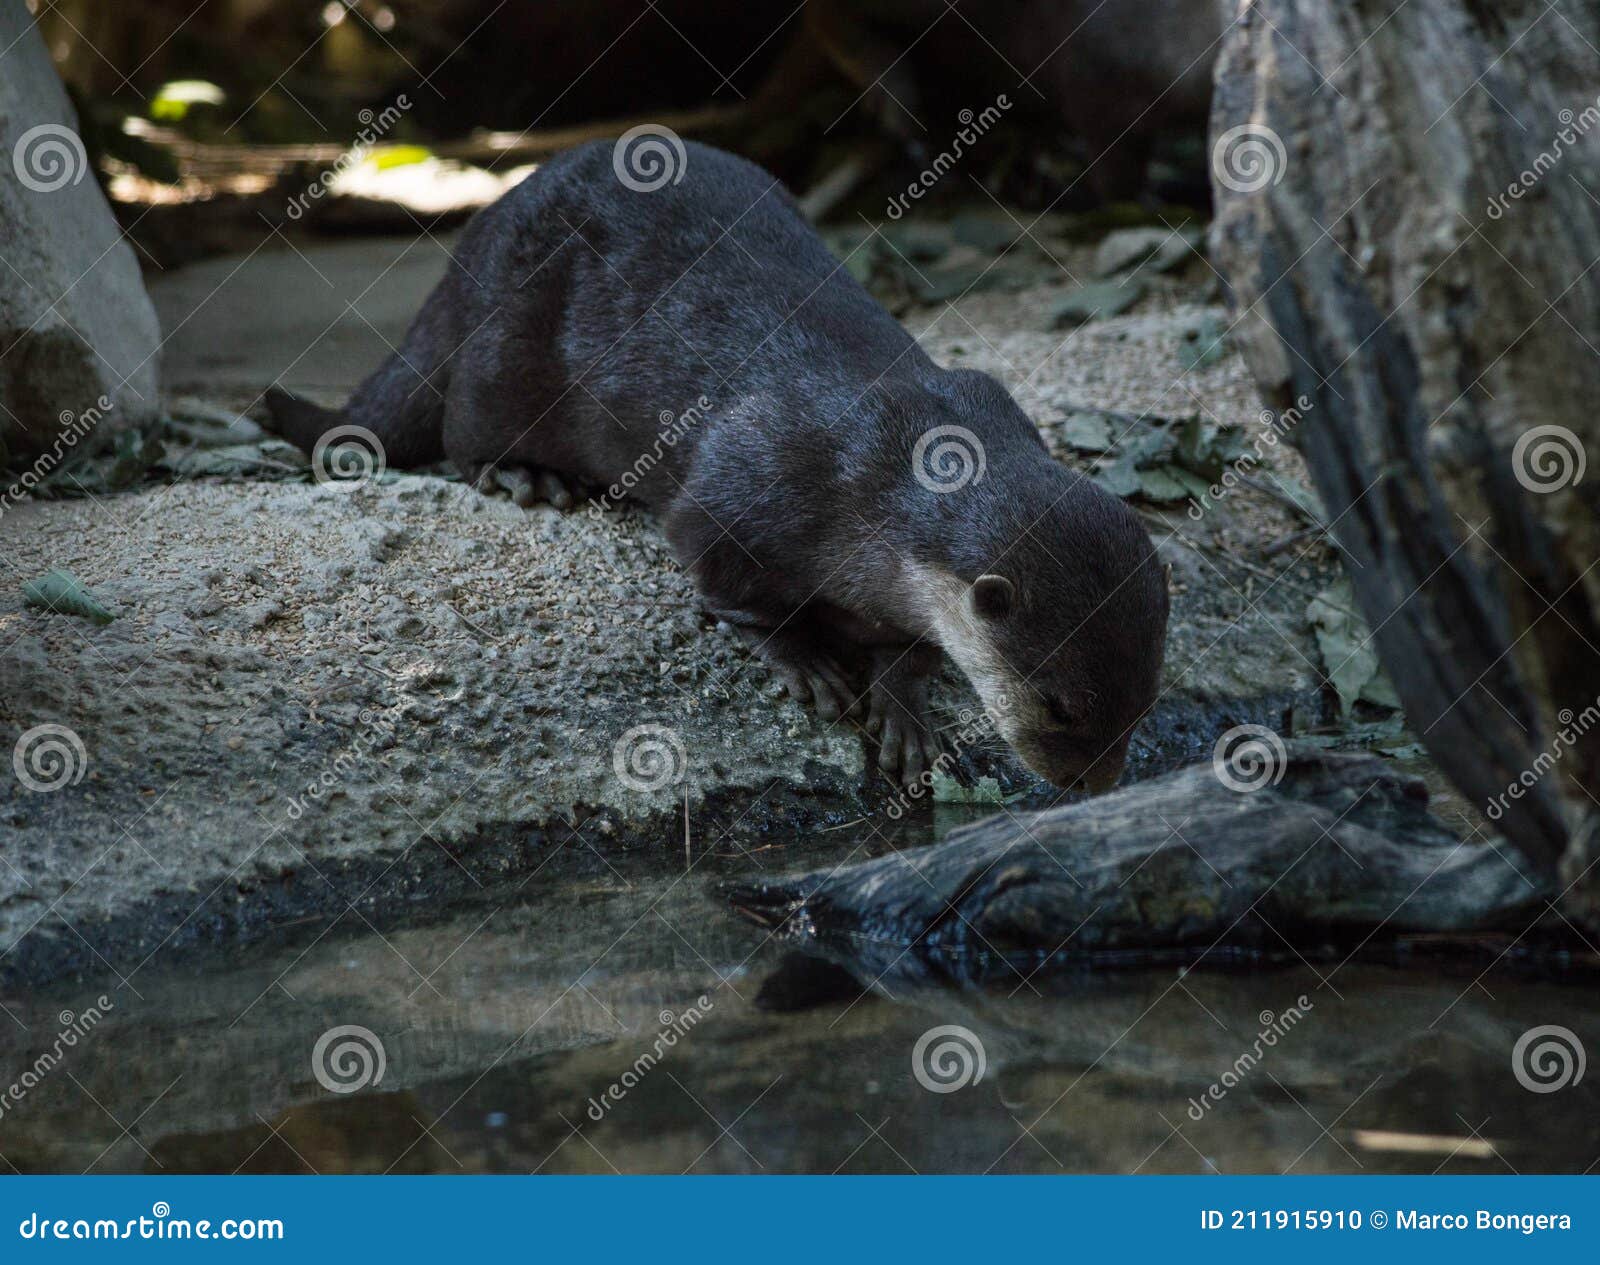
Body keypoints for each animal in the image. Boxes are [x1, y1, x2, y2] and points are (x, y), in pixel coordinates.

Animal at [263, 139, 1168, 789]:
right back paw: (525, 476)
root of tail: (472, 243)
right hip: (504, 348)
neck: (881, 481)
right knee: (461, 428)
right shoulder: (750, 482)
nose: (1093, 787)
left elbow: (914, 643)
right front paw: (803, 657)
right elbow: (720, 577)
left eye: (1143, 705)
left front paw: (904, 701)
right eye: (1058, 707)